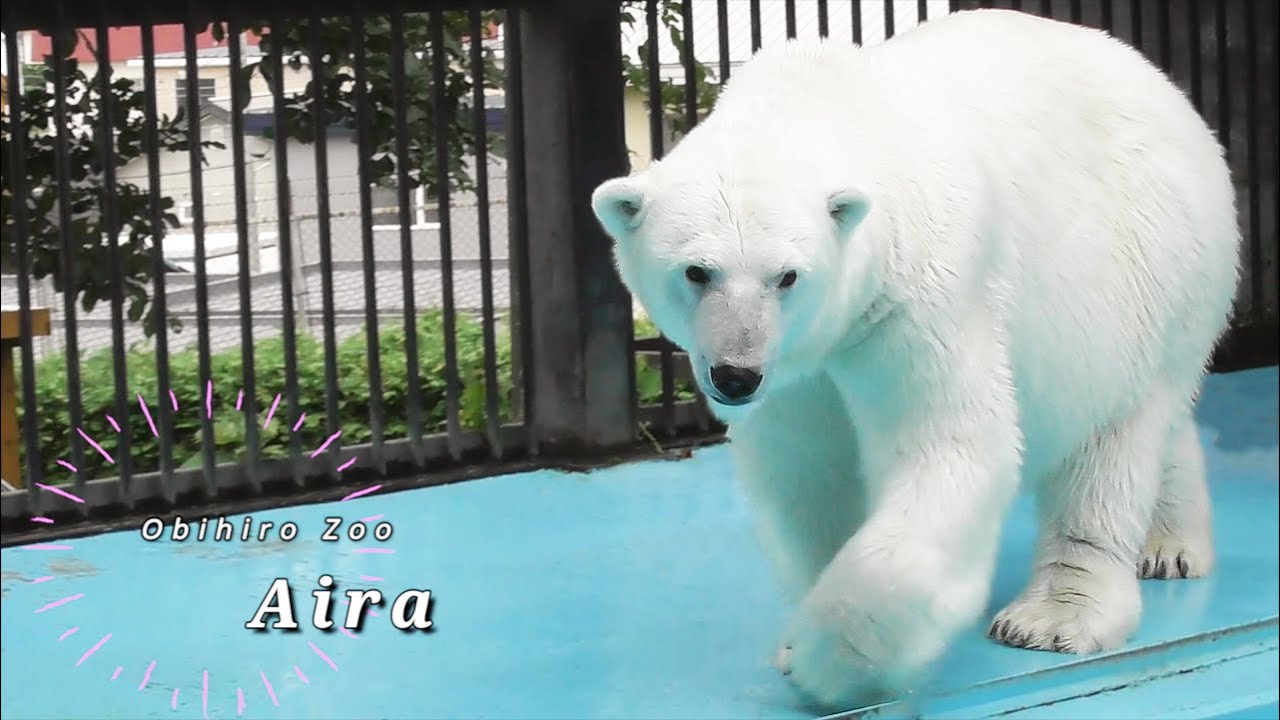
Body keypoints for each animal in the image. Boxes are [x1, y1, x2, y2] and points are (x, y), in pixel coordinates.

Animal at [590, 8, 1240, 711]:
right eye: (696, 271)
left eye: (787, 276)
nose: (735, 376)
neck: (832, 105)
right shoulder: (800, 365)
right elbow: (811, 469)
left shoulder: (919, 292)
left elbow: (948, 445)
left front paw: (822, 660)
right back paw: (1170, 546)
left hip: (1147, 271)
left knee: (1111, 441)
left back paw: (1055, 616)